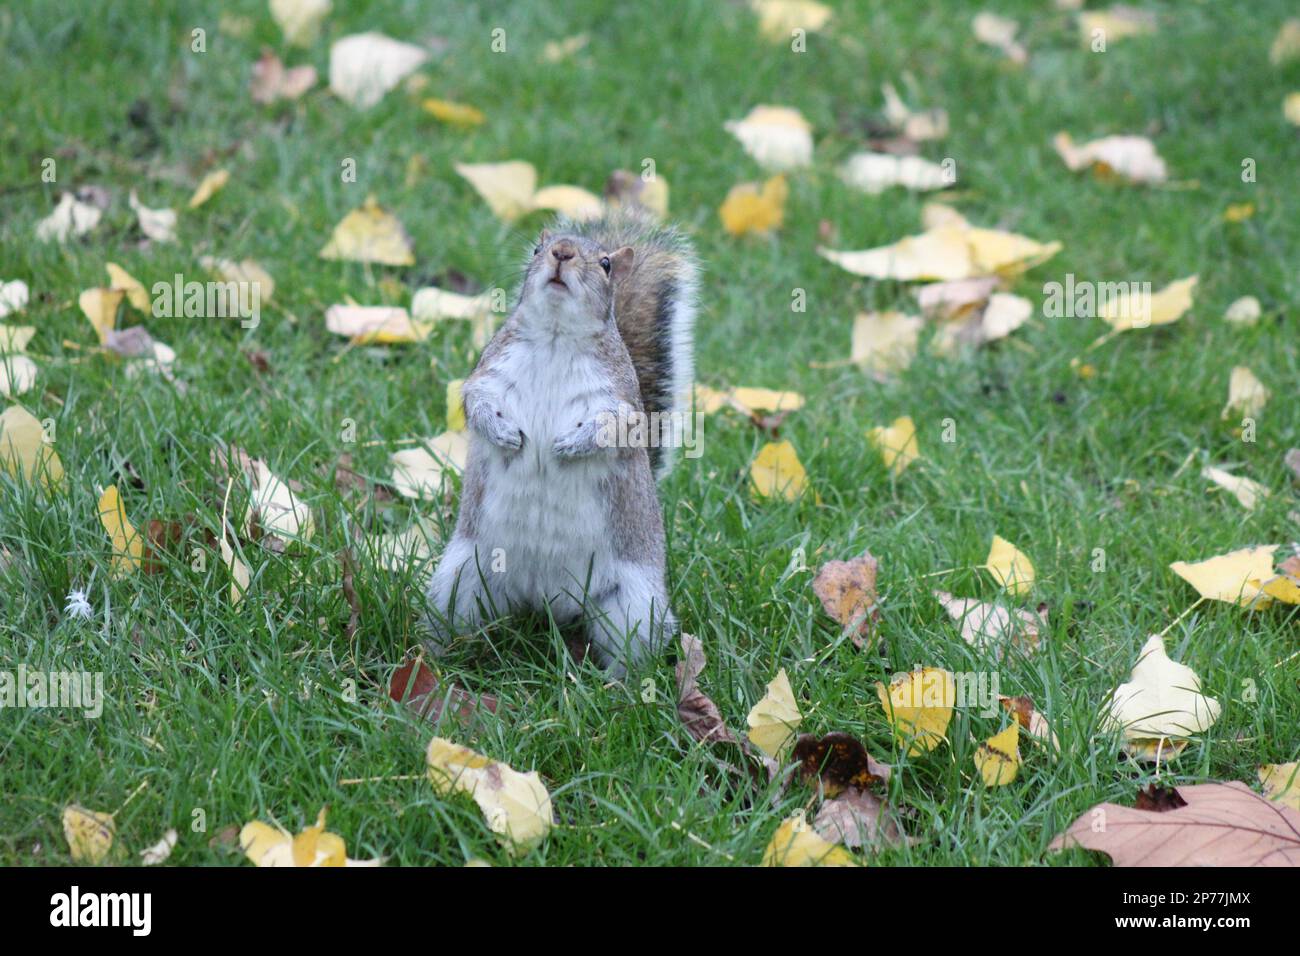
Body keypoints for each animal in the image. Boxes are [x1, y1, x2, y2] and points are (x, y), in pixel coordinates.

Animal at [424, 211, 699, 676]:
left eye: (605, 264)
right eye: (537, 250)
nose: (562, 253)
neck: (555, 336)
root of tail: (547, 600)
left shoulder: (620, 398)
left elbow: (614, 427)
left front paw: (570, 445)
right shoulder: (488, 373)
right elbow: (475, 402)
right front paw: (501, 433)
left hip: (632, 605)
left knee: (630, 649)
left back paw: (617, 683)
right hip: (460, 578)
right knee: (457, 620)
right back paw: (437, 657)